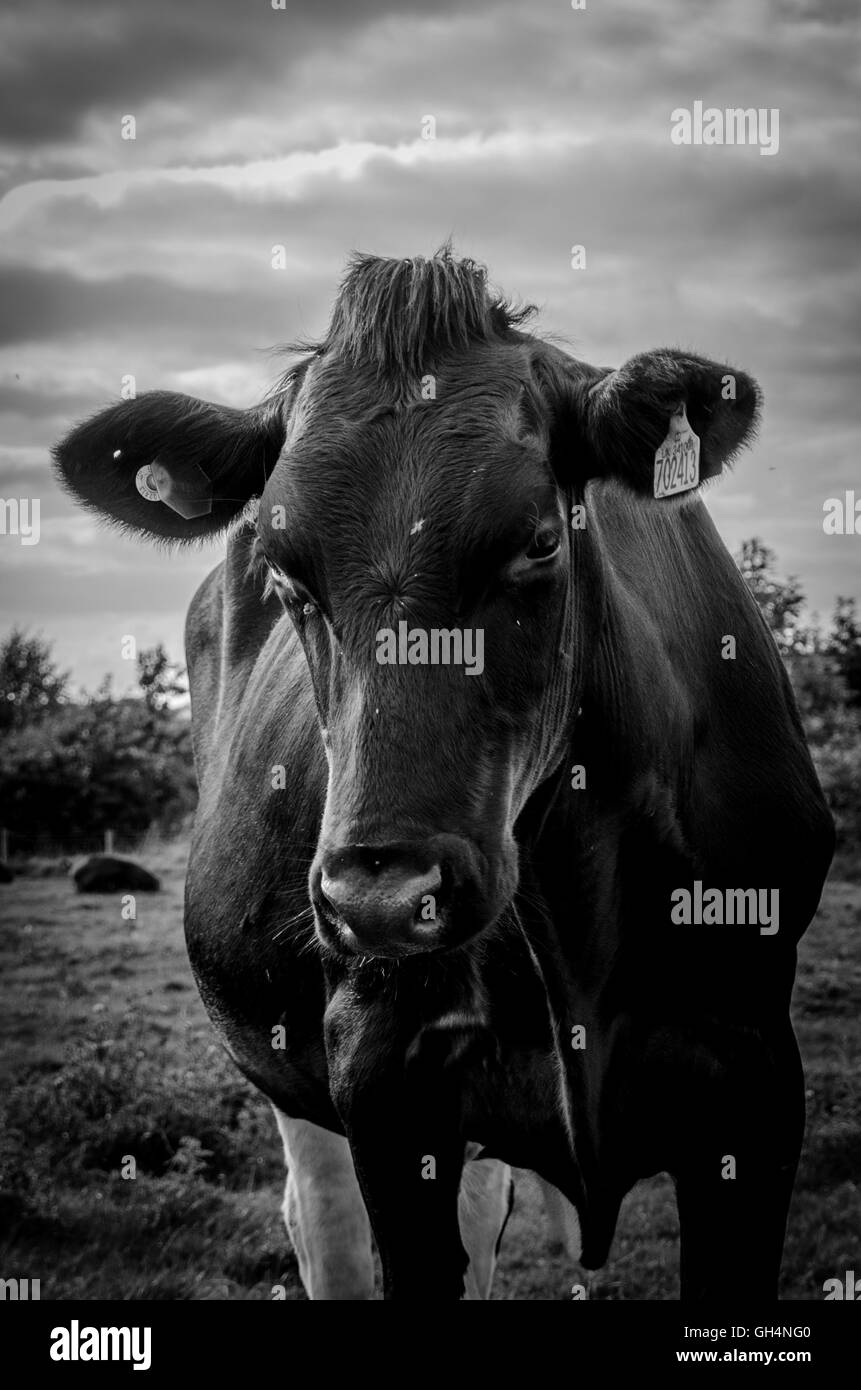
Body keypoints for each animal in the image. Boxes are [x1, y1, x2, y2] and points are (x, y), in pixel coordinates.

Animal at [53, 249, 834, 1300]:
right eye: (285, 572)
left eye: (540, 538)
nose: (382, 897)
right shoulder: (382, 1075)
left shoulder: (753, 1077)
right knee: (324, 1223)